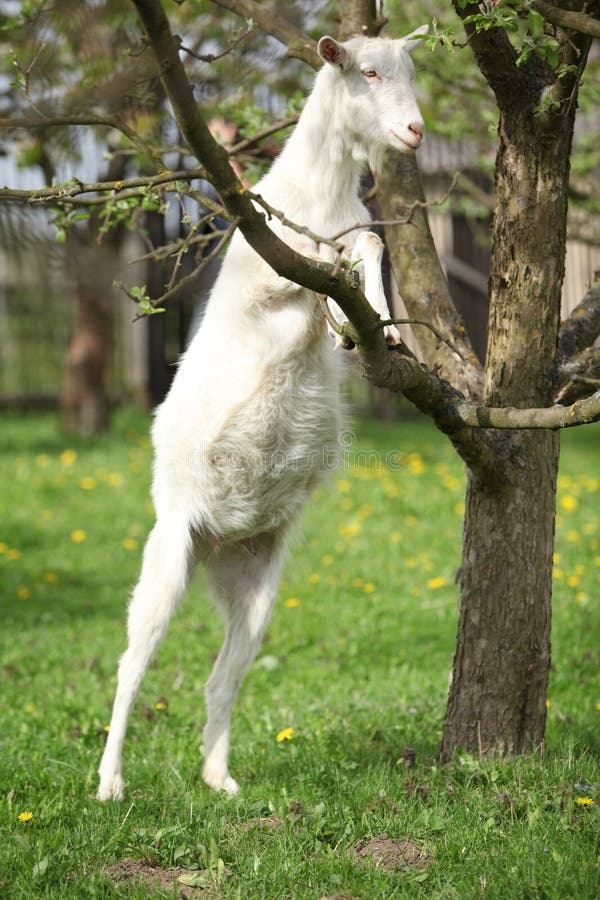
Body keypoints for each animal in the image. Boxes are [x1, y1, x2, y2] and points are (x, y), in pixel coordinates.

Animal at [97, 25, 428, 802]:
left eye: (408, 69)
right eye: (367, 73)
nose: (415, 130)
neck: (319, 197)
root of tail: (220, 537)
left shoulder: (351, 231)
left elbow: (371, 242)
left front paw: (378, 327)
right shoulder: (268, 267)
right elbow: (326, 265)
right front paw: (342, 310)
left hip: (256, 580)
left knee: (224, 676)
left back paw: (219, 778)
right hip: (168, 547)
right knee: (131, 663)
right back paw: (110, 783)